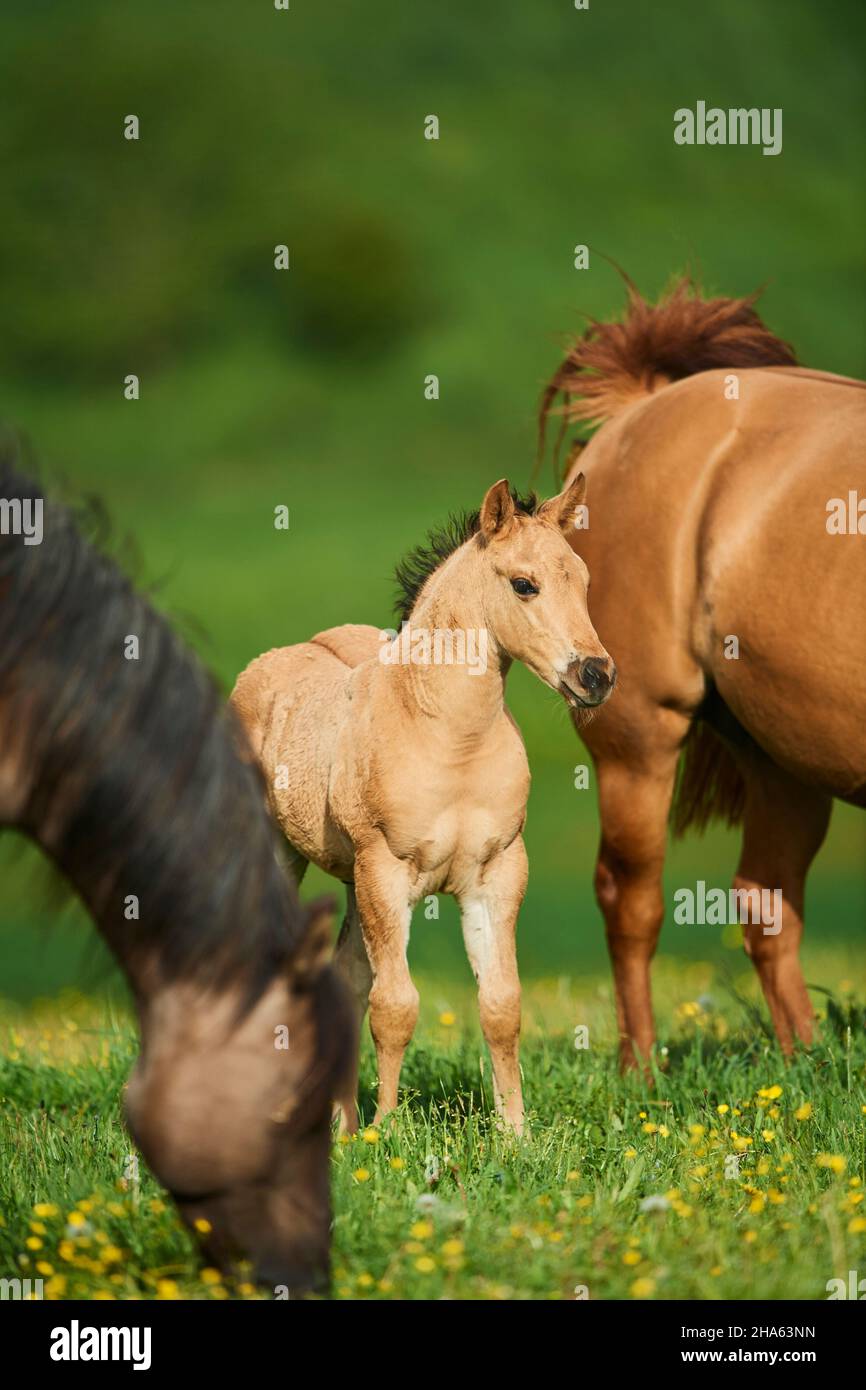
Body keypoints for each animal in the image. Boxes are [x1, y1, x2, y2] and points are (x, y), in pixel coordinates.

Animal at [231, 477, 616, 1134]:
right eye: (524, 584)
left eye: (585, 580)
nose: (595, 675)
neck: (450, 740)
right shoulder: (384, 872)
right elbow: (395, 1006)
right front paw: (387, 1130)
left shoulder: (497, 874)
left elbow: (501, 1005)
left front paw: (515, 1134)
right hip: (292, 860)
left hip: (355, 887)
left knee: (345, 980)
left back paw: (341, 1124)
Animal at [539, 279, 866, 1067]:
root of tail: (644, 404)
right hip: (637, 741)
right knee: (631, 901)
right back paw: (640, 1072)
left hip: (784, 758)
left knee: (765, 899)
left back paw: (807, 1064)